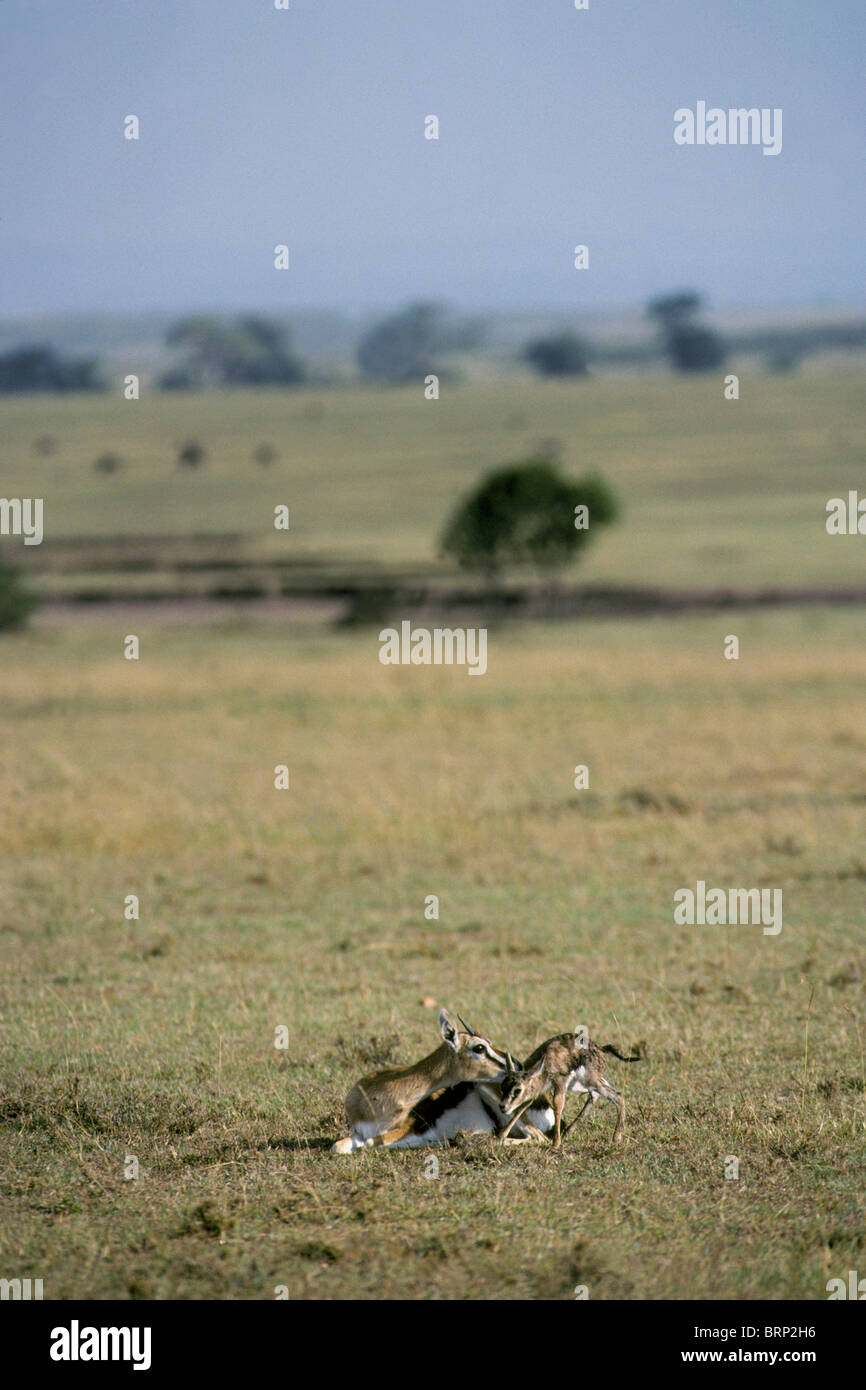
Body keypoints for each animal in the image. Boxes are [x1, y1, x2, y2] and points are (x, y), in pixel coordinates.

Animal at [332, 1008, 522, 1153]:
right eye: (480, 1047)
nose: (518, 1065)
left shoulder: (408, 1128)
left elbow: (370, 1143)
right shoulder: (359, 1132)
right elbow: (338, 1146)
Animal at [497, 1031, 646, 1148]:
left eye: (518, 1090)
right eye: (502, 1087)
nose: (502, 1107)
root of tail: (601, 1050)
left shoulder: (560, 1083)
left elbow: (557, 1106)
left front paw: (555, 1144)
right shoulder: (538, 1090)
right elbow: (522, 1107)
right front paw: (501, 1136)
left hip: (590, 1081)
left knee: (617, 1095)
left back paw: (616, 1137)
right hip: (587, 1083)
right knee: (595, 1096)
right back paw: (568, 1131)